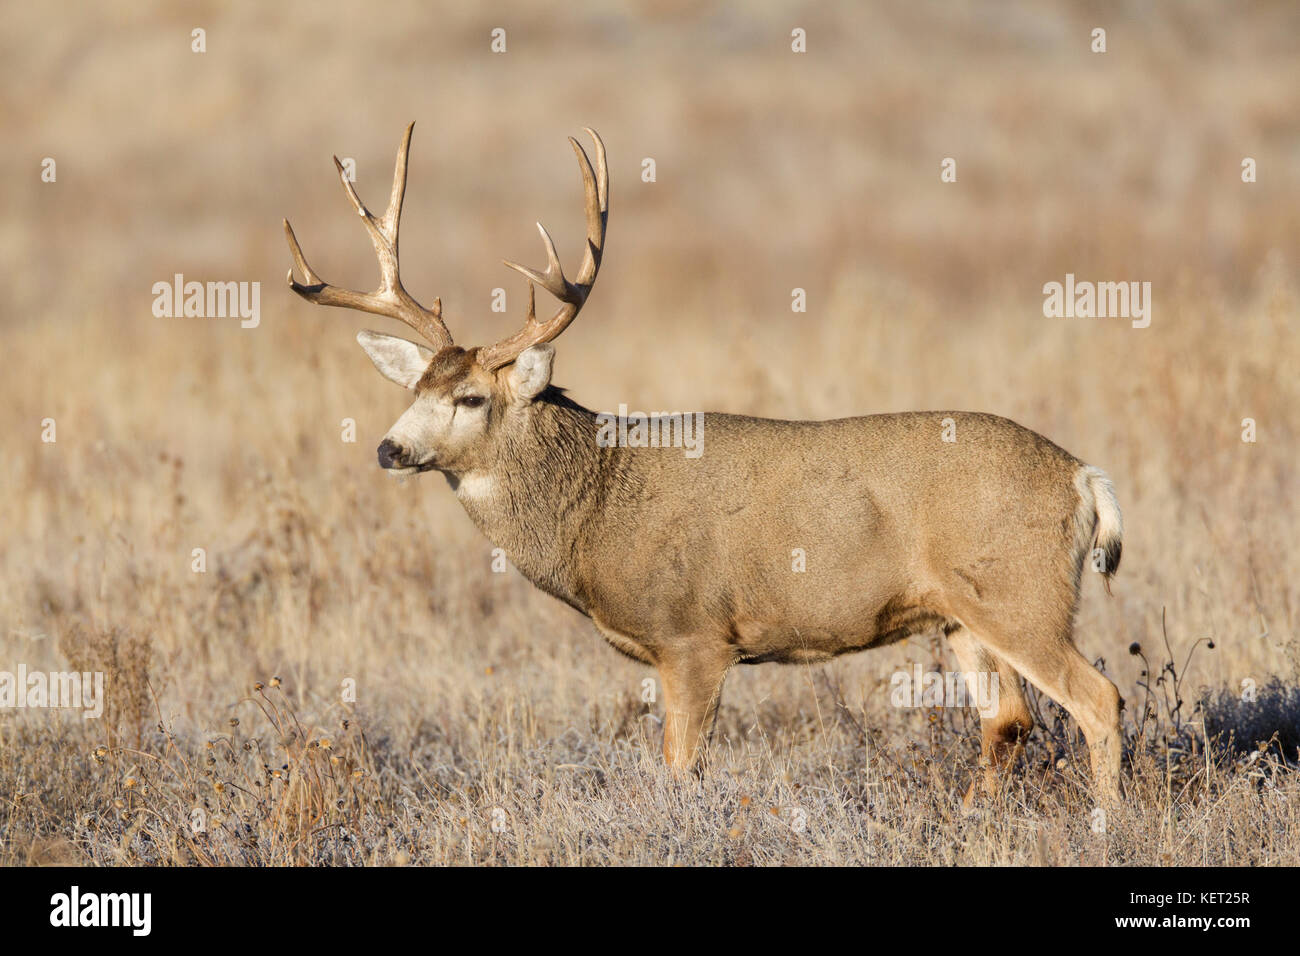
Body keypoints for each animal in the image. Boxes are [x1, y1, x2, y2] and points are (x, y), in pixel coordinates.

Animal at [283, 123, 1126, 803]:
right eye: (415, 387)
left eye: (469, 398)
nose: (389, 448)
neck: (595, 503)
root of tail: (1082, 477)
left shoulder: (694, 636)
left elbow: (681, 769)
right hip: (959, 614)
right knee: (1009, 722)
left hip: (1023, 594)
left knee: (1100, 700)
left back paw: (1105, 826)